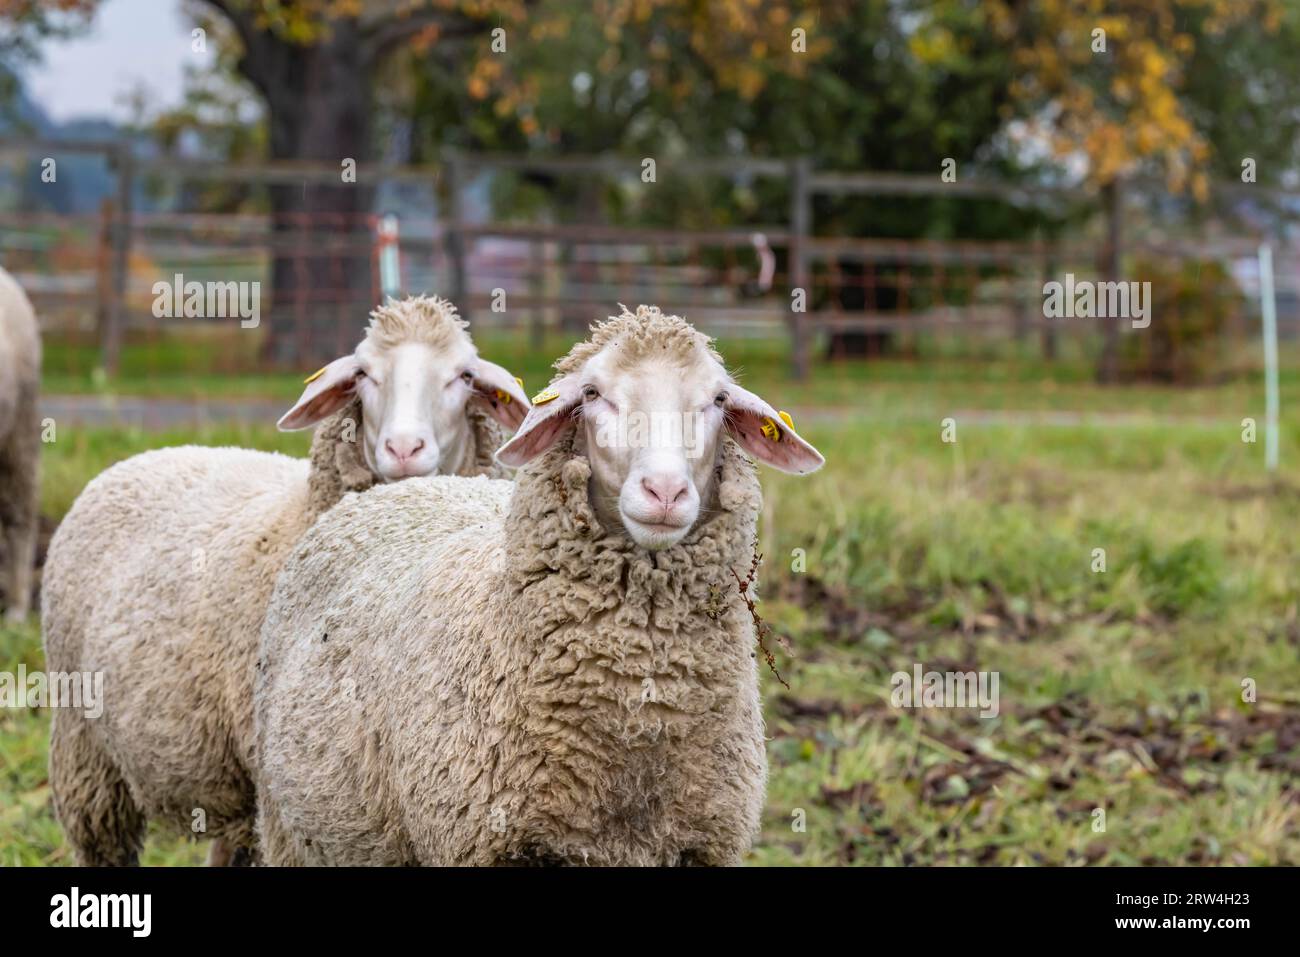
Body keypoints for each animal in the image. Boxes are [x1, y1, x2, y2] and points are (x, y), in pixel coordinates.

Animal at [42, 295, 529, 866]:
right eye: (364, 373)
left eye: (463, 375)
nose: (404, 448)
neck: (302, 513)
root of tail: (143, 457)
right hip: (86, 748)